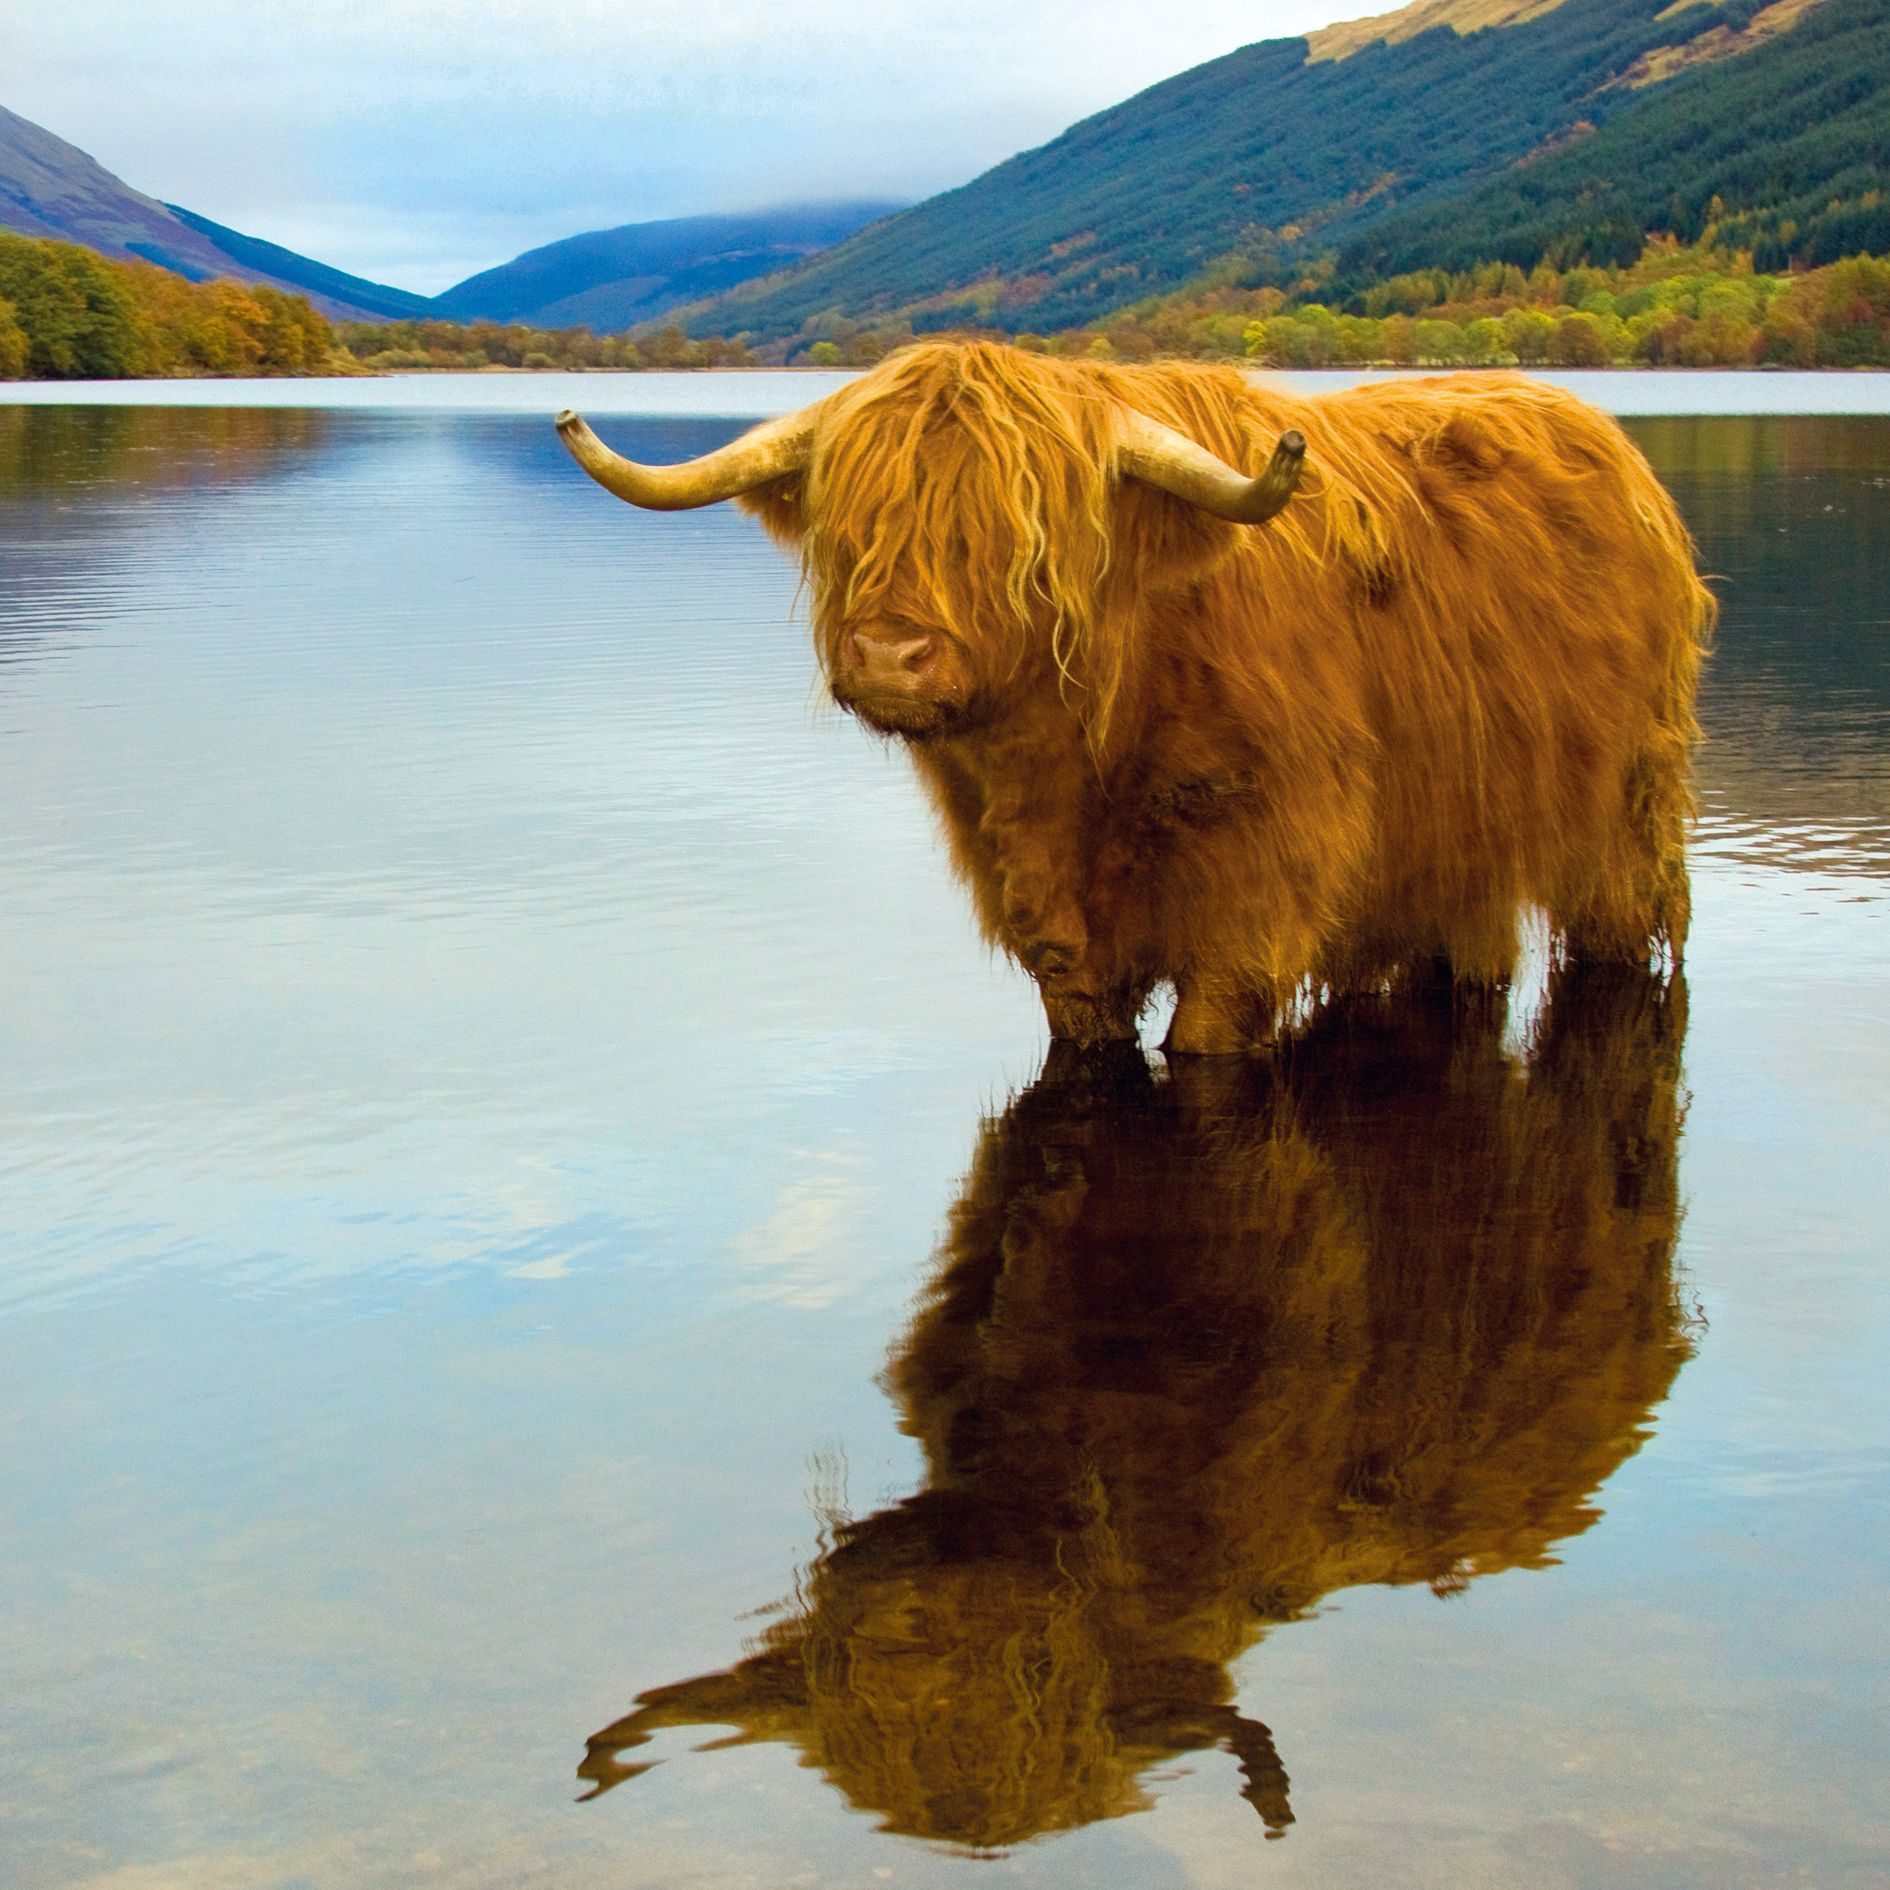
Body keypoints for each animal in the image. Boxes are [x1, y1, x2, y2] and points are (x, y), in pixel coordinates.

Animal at [557, 342, 1712, 1051]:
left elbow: (1206, 1026)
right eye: (851, 528)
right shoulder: (1053, 930)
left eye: (1019, 541)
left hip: (1630, 799)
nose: (888, 654)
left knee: (1623, 920)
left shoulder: (1262, 886)